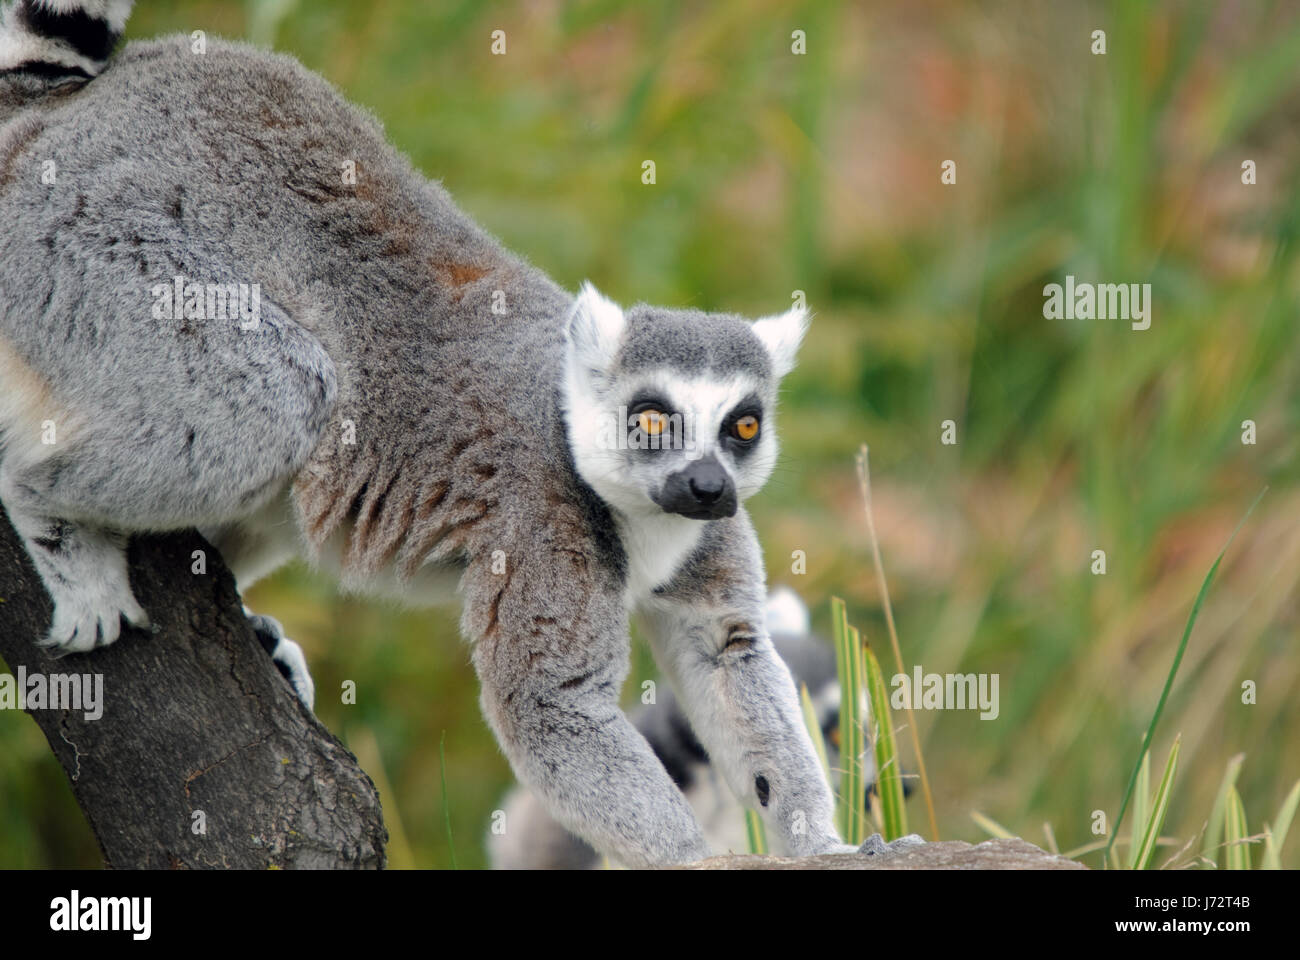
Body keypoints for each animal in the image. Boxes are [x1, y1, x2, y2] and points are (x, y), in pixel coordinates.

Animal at [0, 1, 921, 866]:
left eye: (743, 425)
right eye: (653, 419)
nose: (705, 485)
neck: (636, 511)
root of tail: (73, 112)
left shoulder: (706, 541)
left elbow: (728, 652)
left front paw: (829, 844)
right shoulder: (546, 520)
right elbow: (550, 708)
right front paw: (702, 859)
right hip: (98, 260)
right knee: (275, 405)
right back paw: (51, 518)